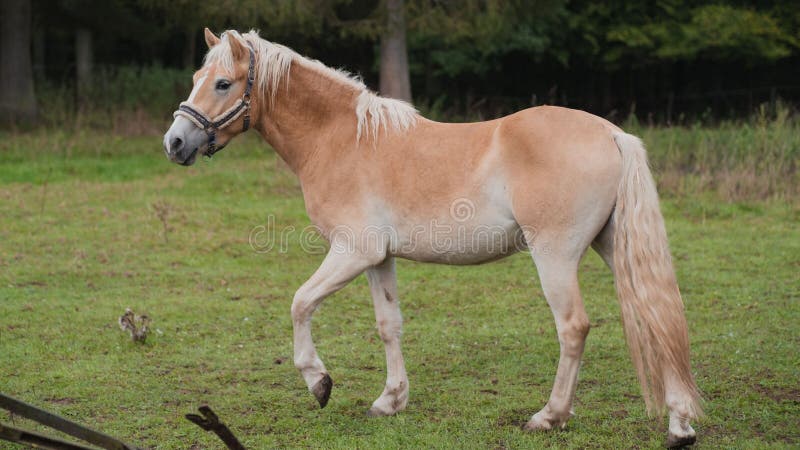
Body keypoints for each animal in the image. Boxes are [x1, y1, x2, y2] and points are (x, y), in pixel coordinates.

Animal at [163, 29, 702, 447]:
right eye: (195, 81)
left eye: (223, 83)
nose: (174, 142)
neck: (342, 140)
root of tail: (614, 134)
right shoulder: (379, 259)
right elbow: (389, 325)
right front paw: (390, 400)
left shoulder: (352, 253)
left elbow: (300, 303)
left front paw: (319, 383)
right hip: (612, 247)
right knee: (657, 315)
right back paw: (680, 426)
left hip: (555, 256)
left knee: (573, 328)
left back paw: (549, 417)